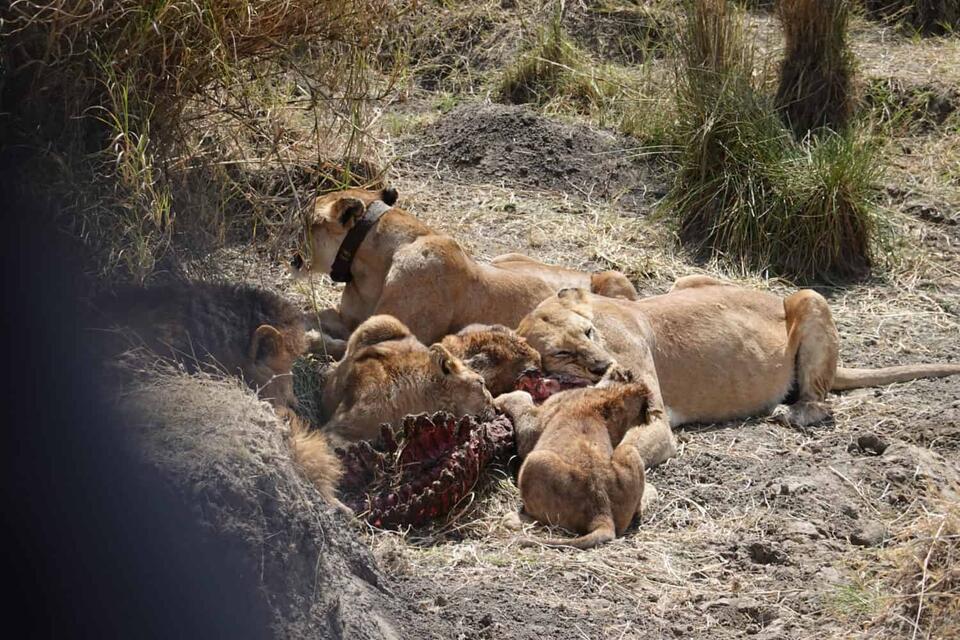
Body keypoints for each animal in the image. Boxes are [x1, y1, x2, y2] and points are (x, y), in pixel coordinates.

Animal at [289, 186, 637, 358]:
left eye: (304, 221)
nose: (289, 253)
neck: (365, 269)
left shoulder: (411, 337)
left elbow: (341, 343)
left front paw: (309, 339)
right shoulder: (349, 317)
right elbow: (316, 315)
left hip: (616, 279)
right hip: (504, 256)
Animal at [494, 365, 656, 549]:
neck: (613, 398)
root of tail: (601, 512)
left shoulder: (533, 427)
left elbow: (520, 399)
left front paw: (497, 398)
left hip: (536, 460)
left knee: (542, 519)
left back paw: (512, 518)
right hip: (630, 451)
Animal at [516, 279, 960, 469]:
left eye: (588, 332)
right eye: (562, 352)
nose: (602, 366)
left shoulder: (657, 417)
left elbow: (633, 449)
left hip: (810, 297)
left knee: (820, 401)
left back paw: (789, 414)